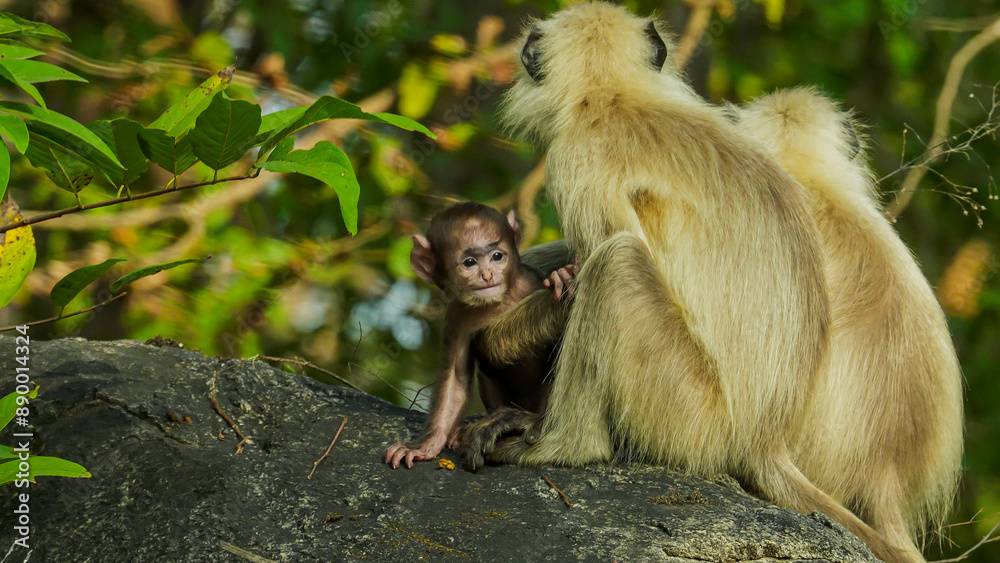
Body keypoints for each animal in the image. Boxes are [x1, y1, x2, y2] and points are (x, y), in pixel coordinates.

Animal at [385, 202, 577, 469]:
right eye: (469, 263)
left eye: (497, 256)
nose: (487, 275)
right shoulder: (457, 317)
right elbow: (456, 378)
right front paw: (426, 445)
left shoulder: (533, 281)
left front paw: (563, 275)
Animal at [458, 4, 960, 563]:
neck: (613, 96)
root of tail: (762, 442)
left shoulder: (577, 160)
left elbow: (592, 261)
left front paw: (493, 337)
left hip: (695, 419)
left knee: (617, 261)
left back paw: (558, 445)